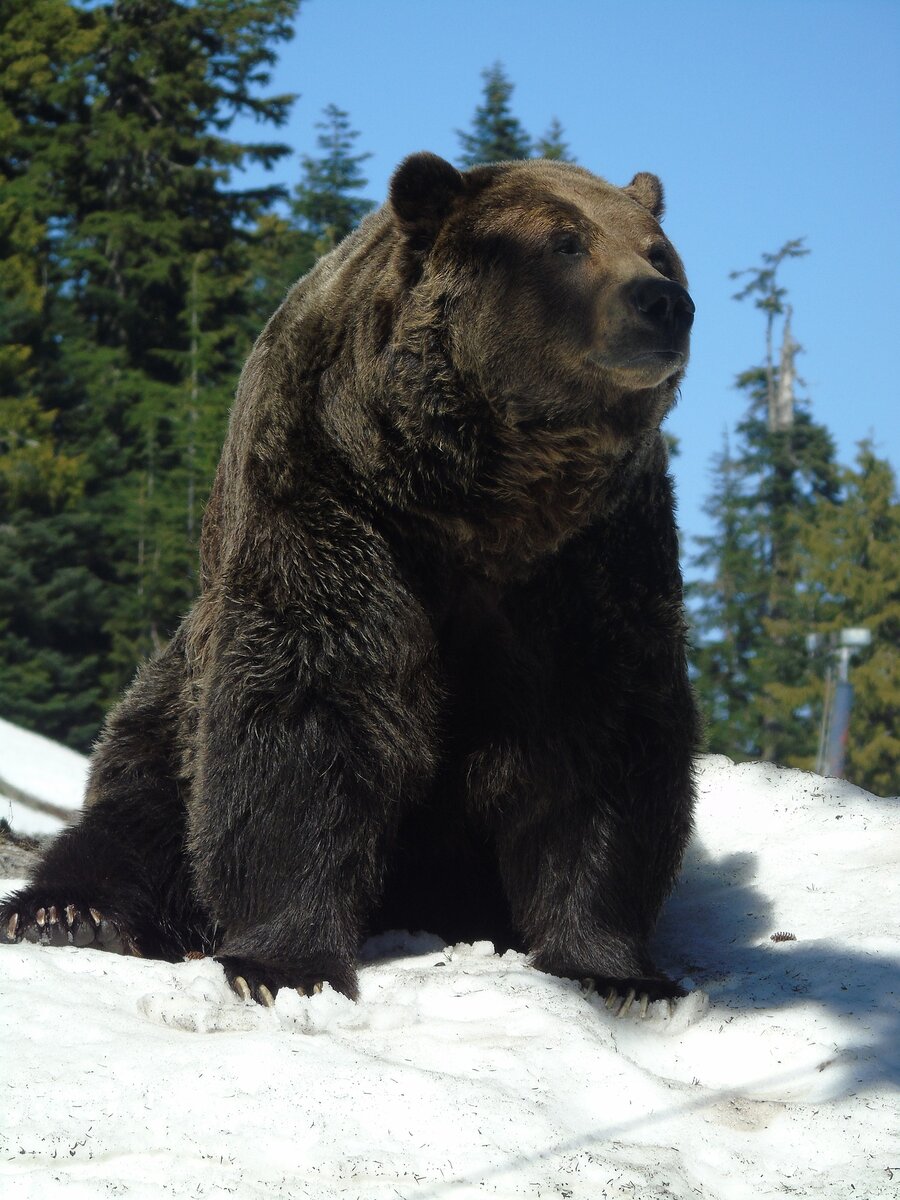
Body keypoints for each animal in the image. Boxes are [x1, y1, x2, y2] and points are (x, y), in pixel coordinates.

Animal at [0, 152, 700, 1012]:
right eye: (566, 244)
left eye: (658, 251)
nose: (662, 301)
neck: (481, 499)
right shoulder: (331, 497)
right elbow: (309, 709)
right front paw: (284, 963)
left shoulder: (597, 554)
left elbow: (602, 739)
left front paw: (614, 970)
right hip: (174, 693)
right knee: (144, 801)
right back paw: (70, 913)